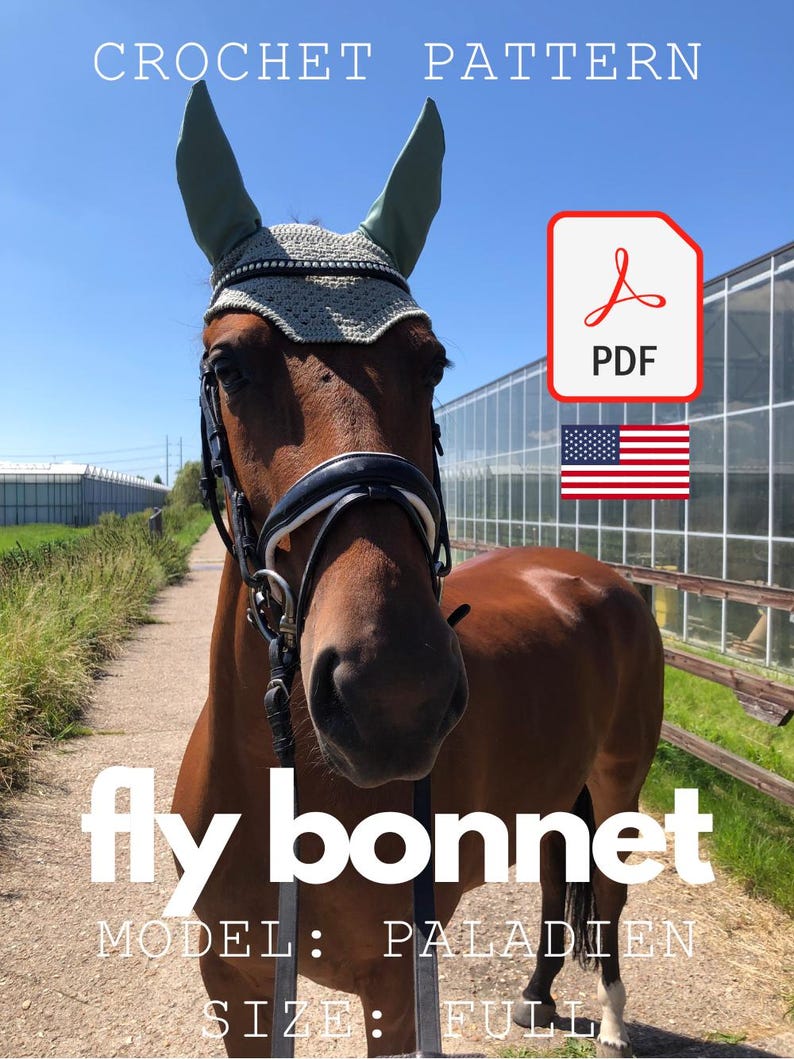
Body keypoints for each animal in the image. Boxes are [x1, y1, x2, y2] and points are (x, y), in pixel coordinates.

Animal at [172, 81, 664, 1059]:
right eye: (228, 365)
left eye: (431, 363)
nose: (390, 695)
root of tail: (604, 579)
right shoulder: (234, 985)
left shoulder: (396, 987)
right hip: (557, 796)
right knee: (557, 882)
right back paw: (537, 994)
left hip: (619, 784)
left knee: (609, 901)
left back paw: (613, 1019)